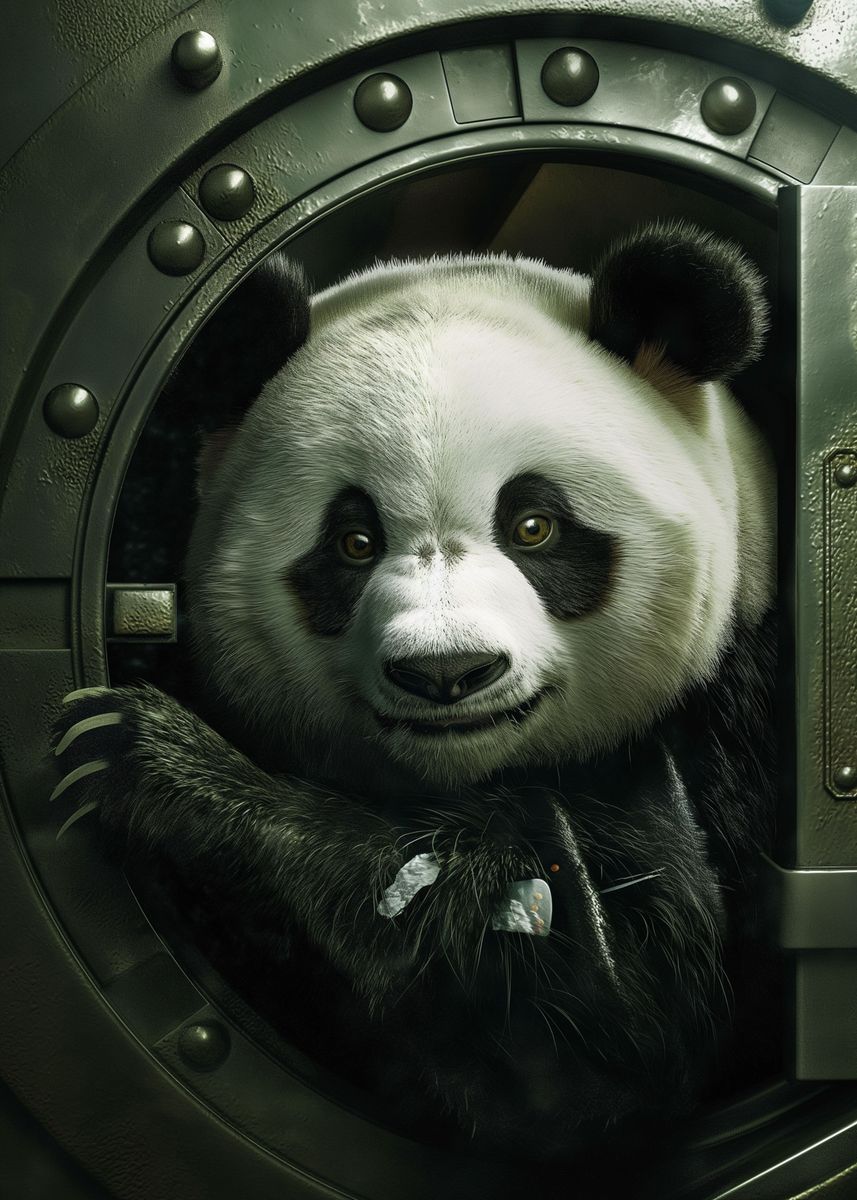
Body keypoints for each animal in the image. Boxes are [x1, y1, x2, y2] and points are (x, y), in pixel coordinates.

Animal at [51, 221, 778, 1172]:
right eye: (353, 541)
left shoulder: (741, 728)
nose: (447, 671)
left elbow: (594, 1053)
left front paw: (161, 768)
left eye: (534, 525)